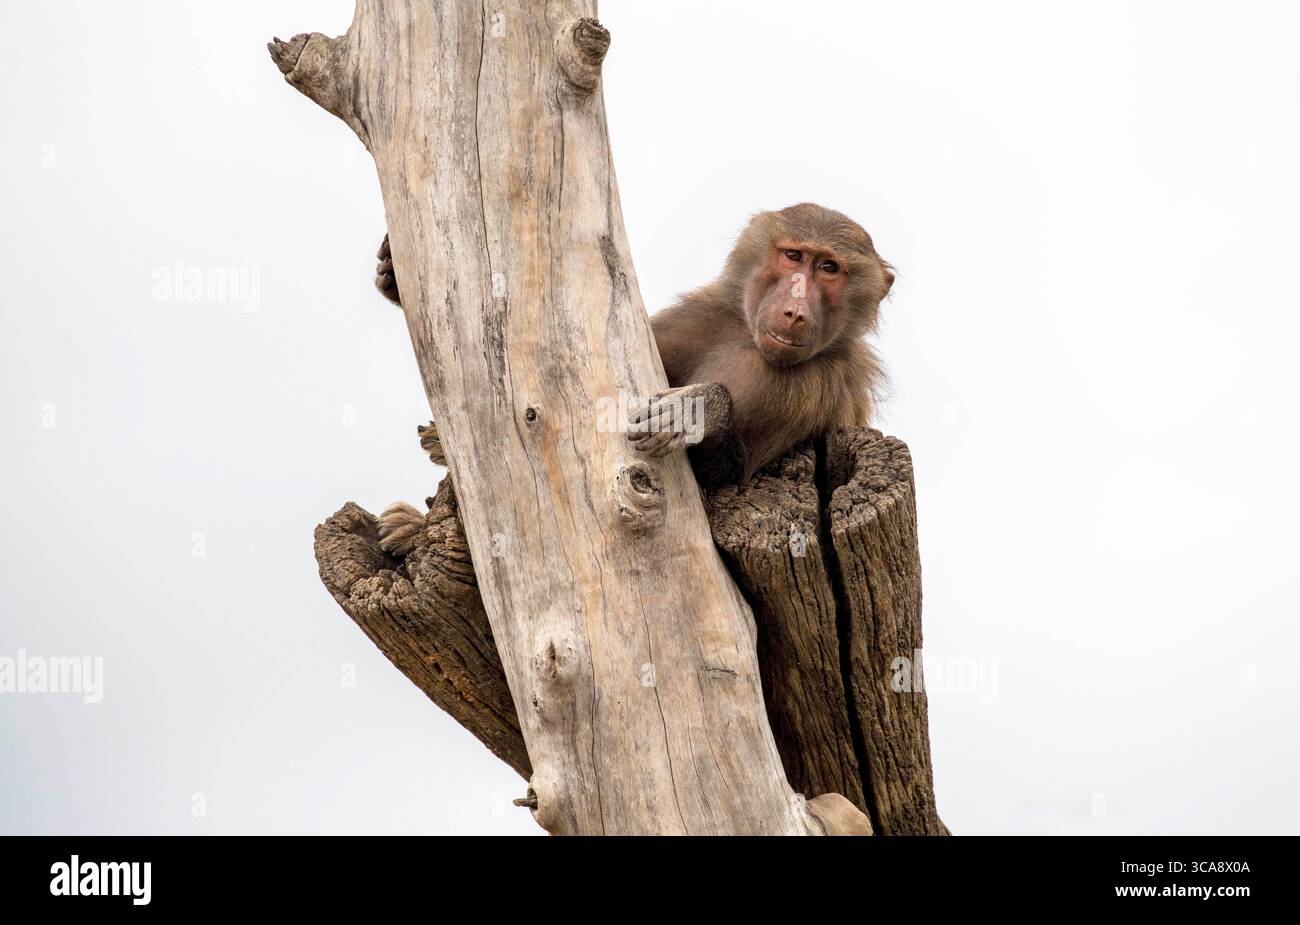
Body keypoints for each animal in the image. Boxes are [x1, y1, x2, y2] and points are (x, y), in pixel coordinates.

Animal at [372, 203, 892, 500]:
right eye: (793, 256)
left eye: (829, 268)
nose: (795, 312)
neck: (745, 337)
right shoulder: (699, 319)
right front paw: (393, 274)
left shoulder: (817, 386)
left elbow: (725, 479)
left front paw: (699, 410)